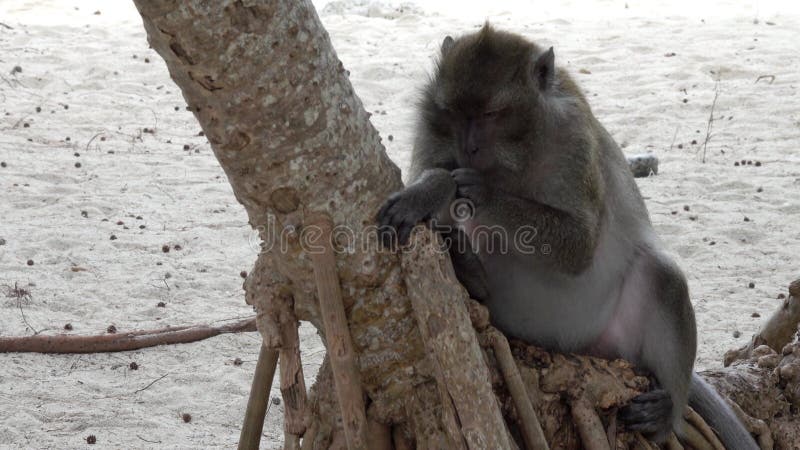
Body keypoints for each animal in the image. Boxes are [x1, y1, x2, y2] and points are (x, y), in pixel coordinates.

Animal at [377, 24, 757, 449]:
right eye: (456, 113)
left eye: (491, 114)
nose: (469, 147)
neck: (517, 156)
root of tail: (577, 346)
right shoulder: (431, 124)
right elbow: (431, 176)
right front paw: (428, 190)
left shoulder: (573, 139)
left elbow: (579, 246)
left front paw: (481, 193)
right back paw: (468, 269)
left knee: (663, 275)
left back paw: (667, 413)